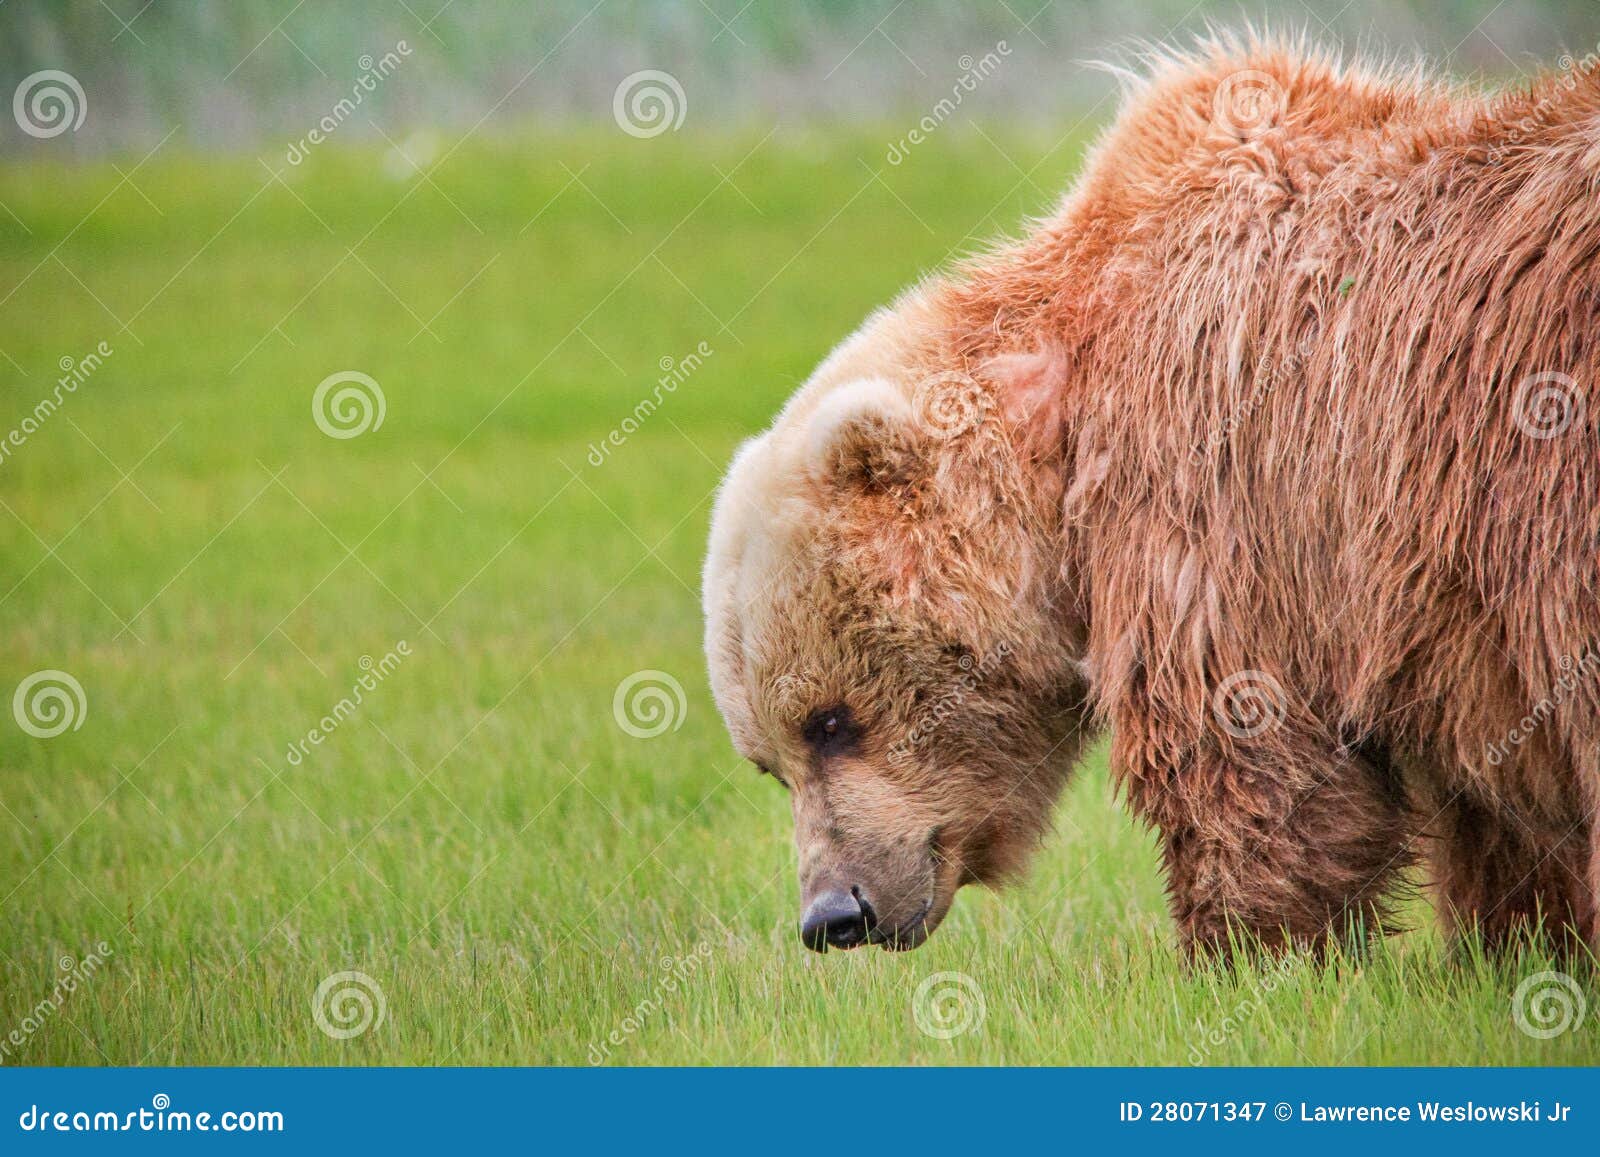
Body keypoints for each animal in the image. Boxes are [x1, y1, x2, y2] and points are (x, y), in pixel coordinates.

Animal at [702, 33, 1600, 958]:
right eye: (768, 762)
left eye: (830, 721)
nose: (834, 913)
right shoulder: (1450, 618)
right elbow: (1499, 818)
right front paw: (1520, 940)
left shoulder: (1214, 468)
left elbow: (1242, 748)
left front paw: (1251, 950)